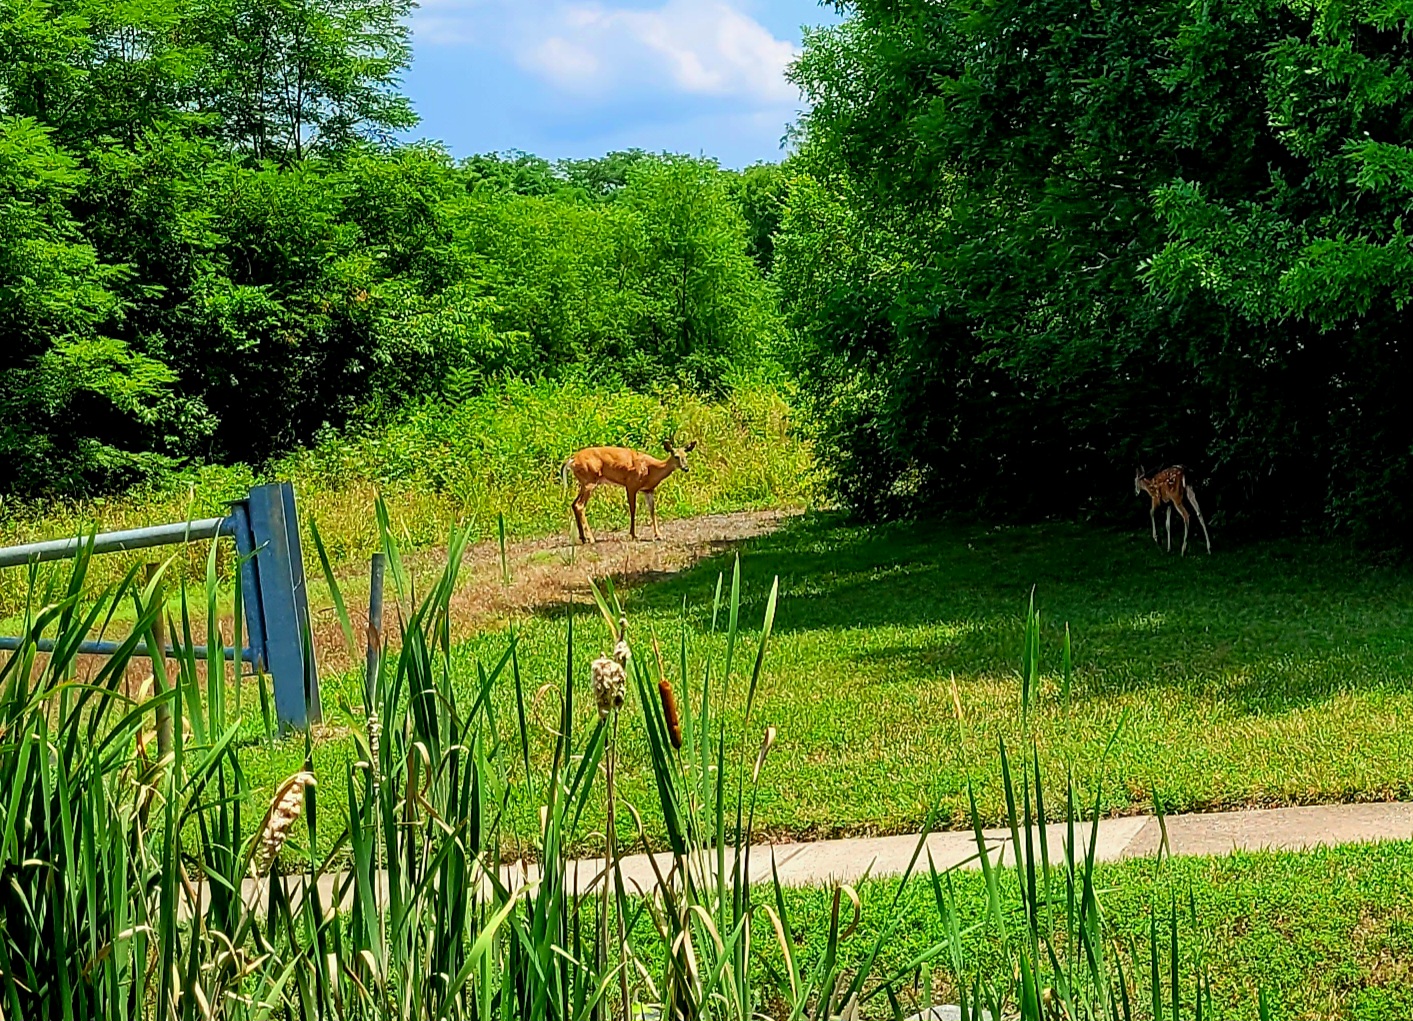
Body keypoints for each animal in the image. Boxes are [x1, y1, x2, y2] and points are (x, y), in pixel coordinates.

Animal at [561, 440, 697, 544]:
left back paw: (583, 538)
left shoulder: (648, 490)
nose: (686, 468)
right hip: (589, 480)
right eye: (676, 456)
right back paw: (591, 538)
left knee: (574, 504)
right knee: (580, 505)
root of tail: (572, 460)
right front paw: (633, 535)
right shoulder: (631, 485)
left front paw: (659, 535)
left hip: (584, 483)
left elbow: (652, 510)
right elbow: (633, 509)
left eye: (686, 456)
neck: (651, 470)